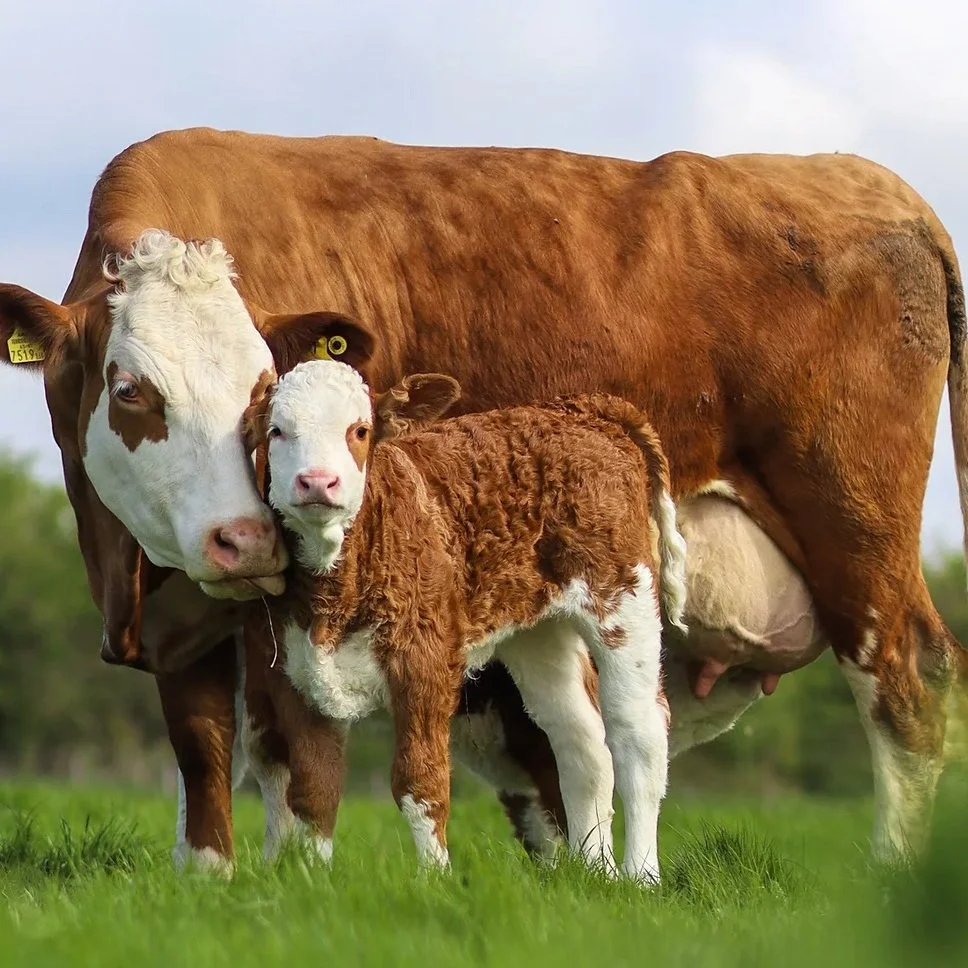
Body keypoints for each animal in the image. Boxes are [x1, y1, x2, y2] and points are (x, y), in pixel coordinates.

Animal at [247, 359, 688, 881]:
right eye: (276, 430)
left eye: (360, 430)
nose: (317, 482)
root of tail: (580, 408)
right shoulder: (293, 675)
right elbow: (315, 790)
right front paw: (314, 880)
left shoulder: (424, 665)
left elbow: (420, 783)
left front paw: (434, 879)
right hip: (540, 632)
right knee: (581, 743)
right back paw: (595, 871)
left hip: (623, 594)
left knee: (637, 734)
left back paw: (641, 876)